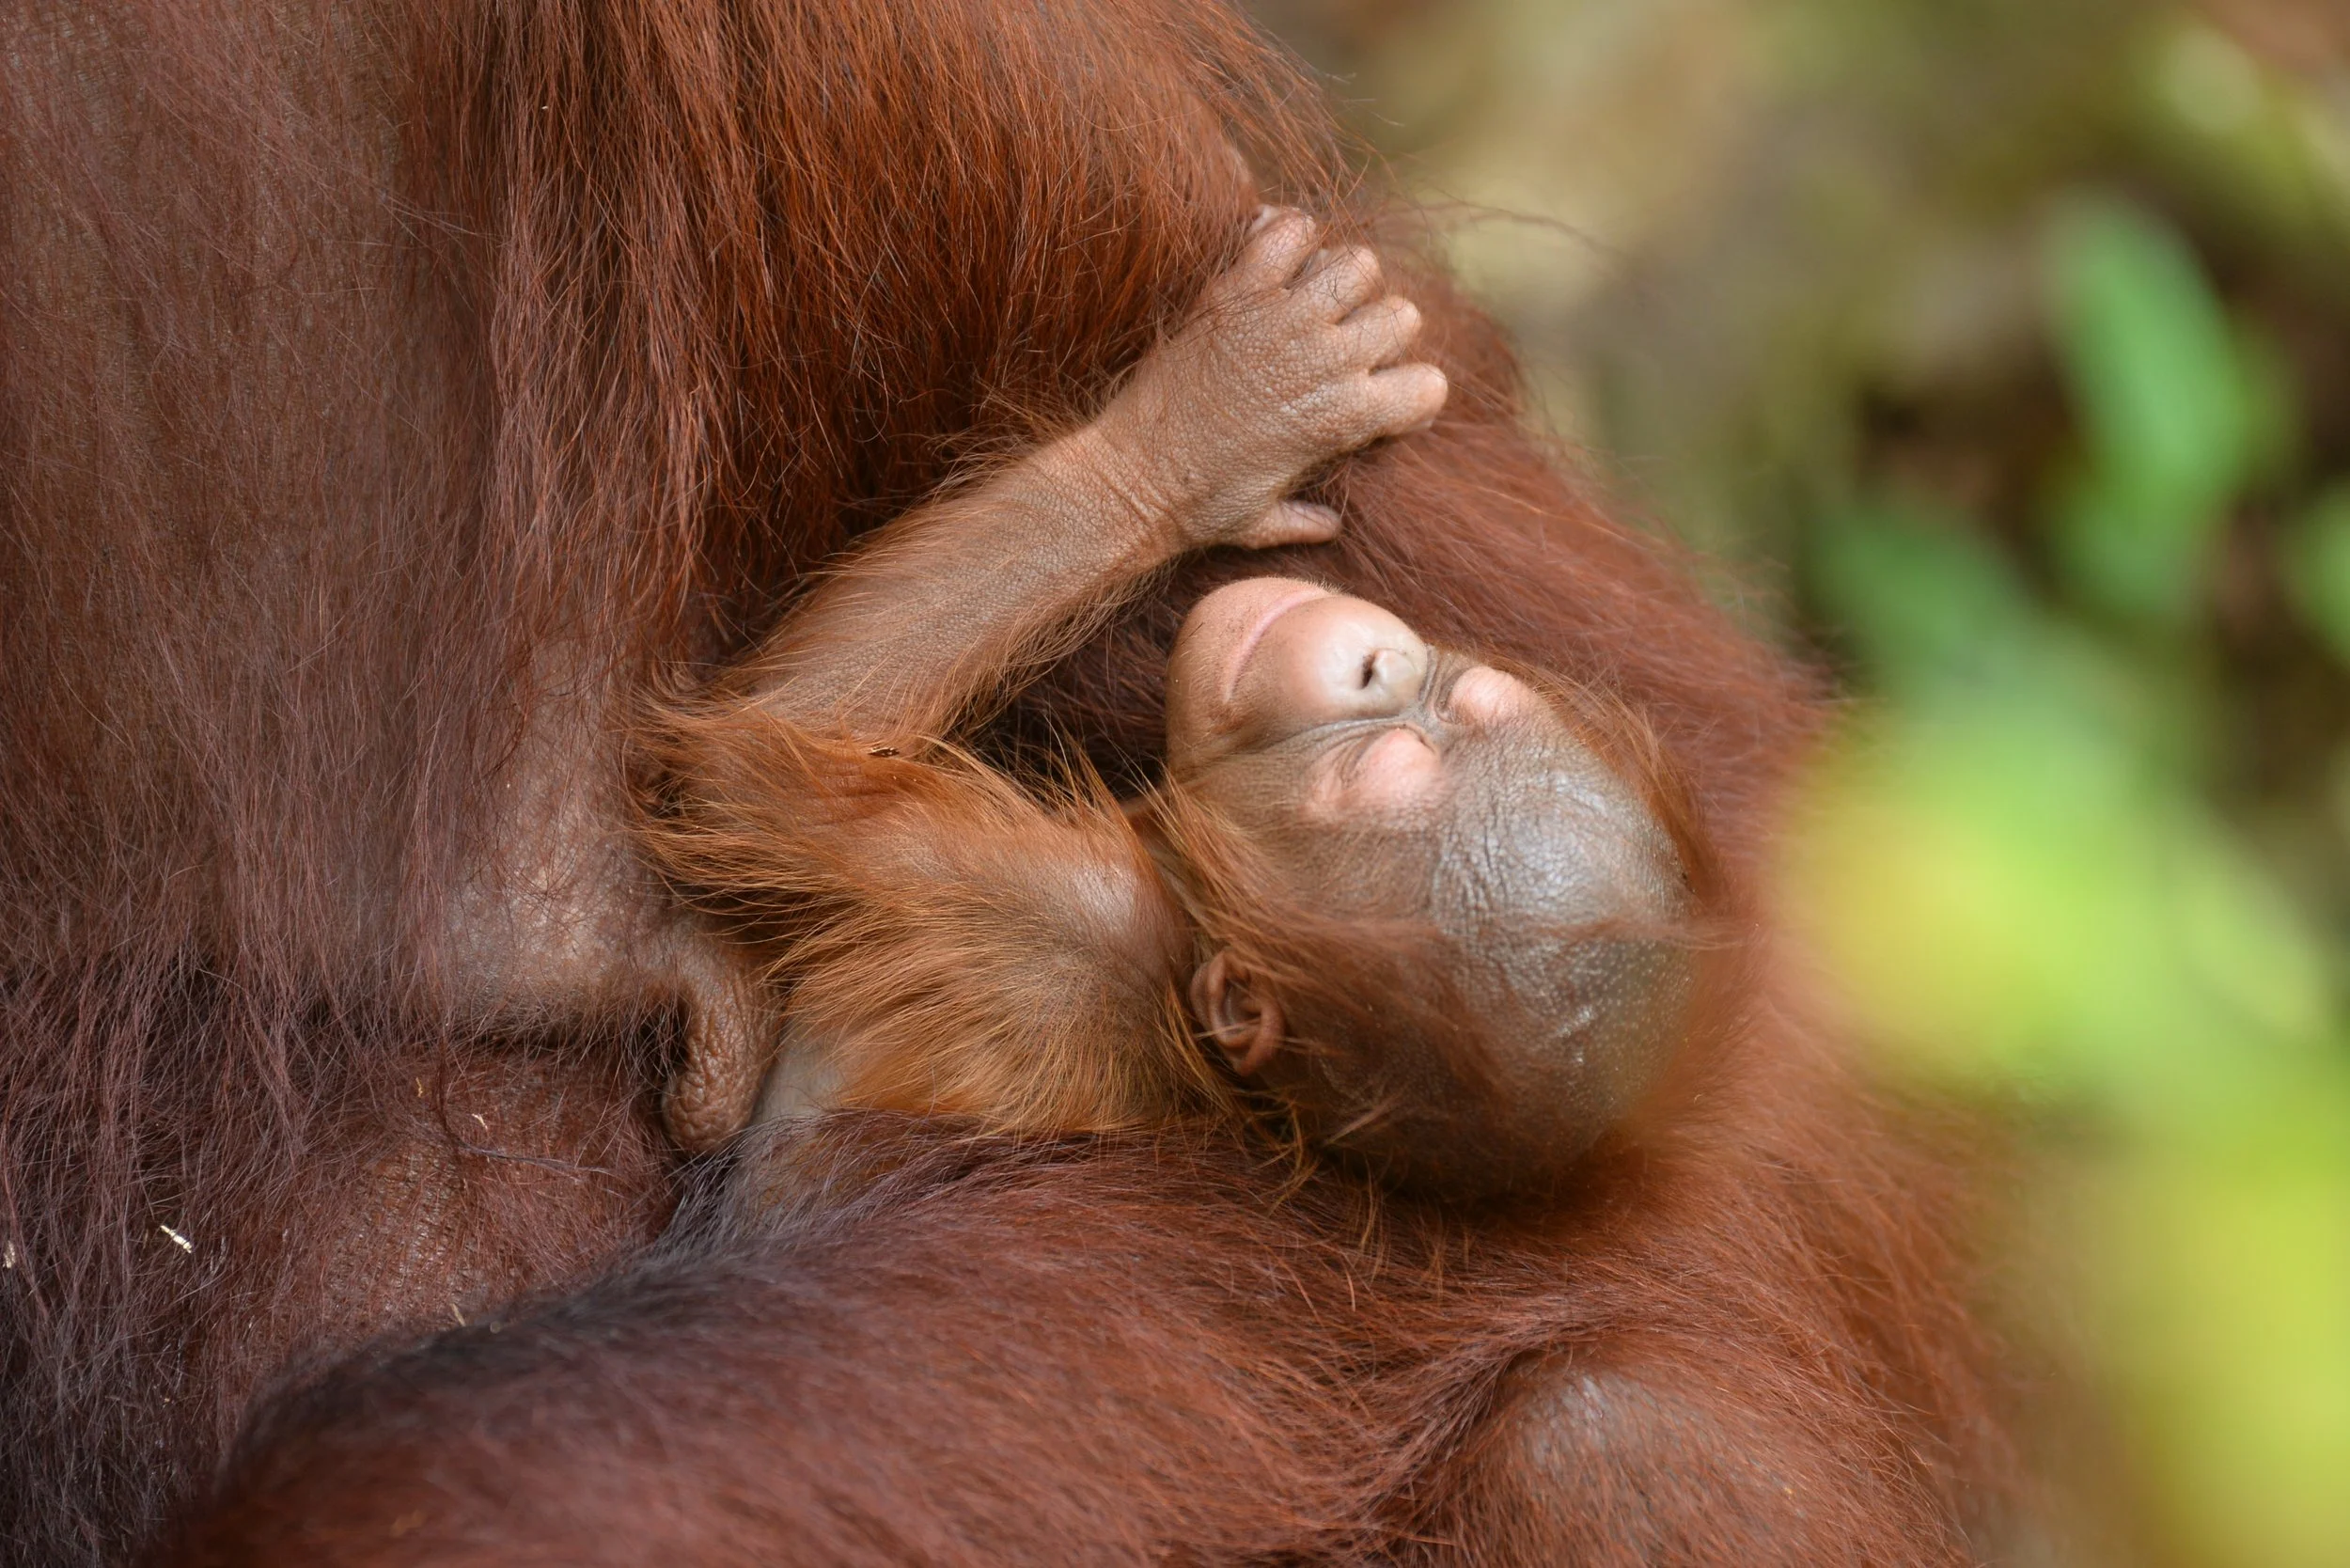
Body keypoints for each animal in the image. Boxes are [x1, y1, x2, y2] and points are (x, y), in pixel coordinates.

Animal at [645, 210, 1711, 1204]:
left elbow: (745, 763)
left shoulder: (1046, 909)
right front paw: (1247, 412)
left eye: (1358, 774)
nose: (1383, 663)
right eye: (1448, 694)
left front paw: (1202, 430)